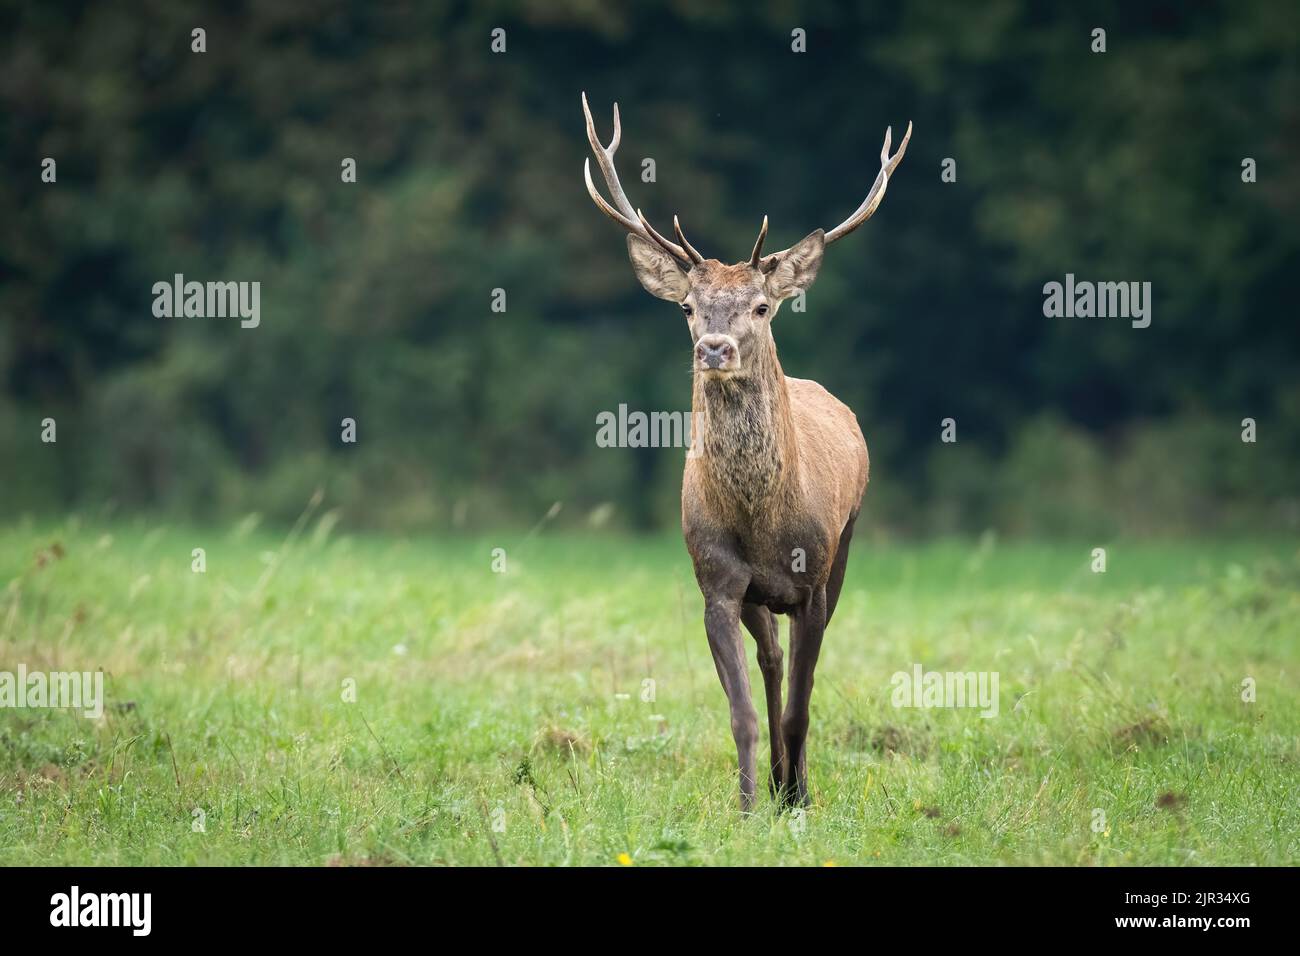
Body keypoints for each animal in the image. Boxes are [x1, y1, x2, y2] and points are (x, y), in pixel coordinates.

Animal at [581, 93, 910, 811]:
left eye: (761, 306)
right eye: (687, 307)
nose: (715, 348)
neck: (763, 521)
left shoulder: (812, 582)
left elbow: (801, 707)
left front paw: (801, 799)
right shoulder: (718, 583)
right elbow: (743, 712)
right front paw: (749, 804)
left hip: (845, 545)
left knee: (797, 672)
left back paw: (797, 781)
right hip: (761, 597)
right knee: (772, 662)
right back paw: (780, 779)